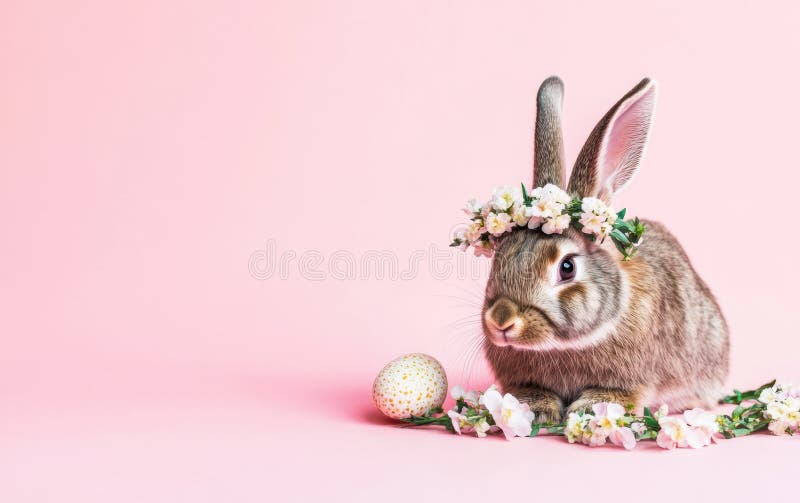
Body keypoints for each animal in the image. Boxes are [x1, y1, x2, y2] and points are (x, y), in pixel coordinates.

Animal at [482, 76, 729, 424]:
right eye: (500, 254)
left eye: (567, 268)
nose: (501, 320)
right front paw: (534, 408)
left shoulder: (632, 379)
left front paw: (589, 411)